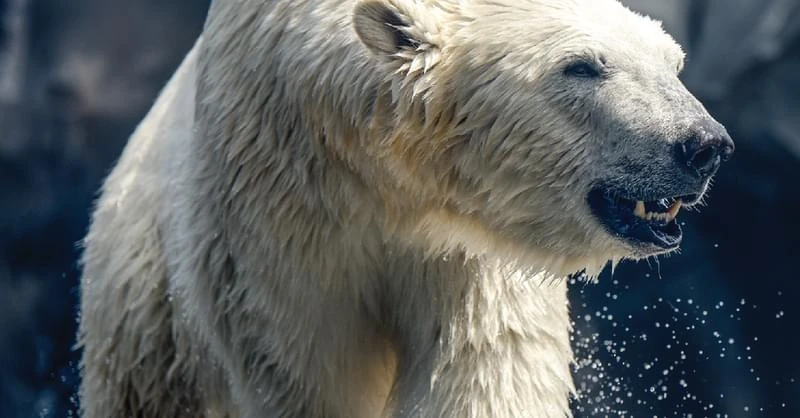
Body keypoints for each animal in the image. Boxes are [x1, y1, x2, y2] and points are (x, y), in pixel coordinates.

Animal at [77, 0, 733, 417]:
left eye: (672, 61)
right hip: (143, 294)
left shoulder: (466, 245)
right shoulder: (274, 211)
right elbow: (309, 368)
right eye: (582, 66)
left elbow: (483, 367)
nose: (703, 144)